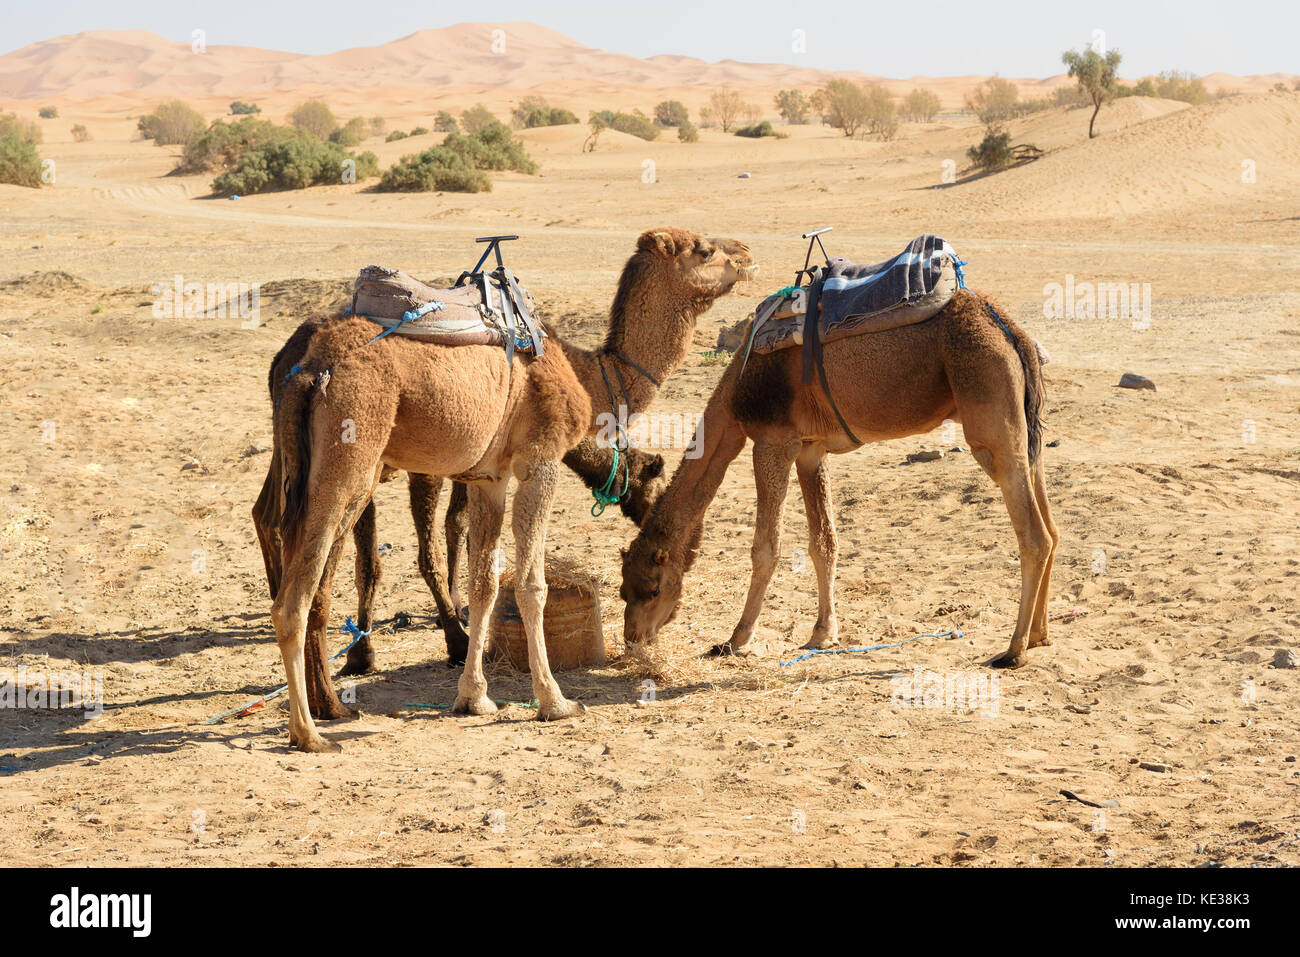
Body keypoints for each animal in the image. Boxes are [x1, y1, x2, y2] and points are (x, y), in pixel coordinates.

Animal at [270, 227, 754, 751]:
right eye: (704, 250)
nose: (747, 254)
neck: (587, 373)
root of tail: (309, 368)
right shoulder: (541, 461)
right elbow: (530, 585)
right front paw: (555, 701)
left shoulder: (491, 478)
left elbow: (483, 584)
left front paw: (474, 697)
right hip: (351, 458)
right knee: (297, 597)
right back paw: (311, 730)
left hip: (306, 465)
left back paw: (326, 708)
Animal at [620, 287, 1059, 669]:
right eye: (623, 589)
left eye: (653, 587)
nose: (633, 640)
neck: (736, 392)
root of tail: (1011, 330)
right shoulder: (810, 449)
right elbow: (824, 543)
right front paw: (822, 634)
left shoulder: (773, 441)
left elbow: (766, 548)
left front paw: (736, 640)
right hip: (1026, 427)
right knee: (1053, 529)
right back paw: (1040, 635)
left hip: (989, 414)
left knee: (1034, 535)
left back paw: (1014, 650)